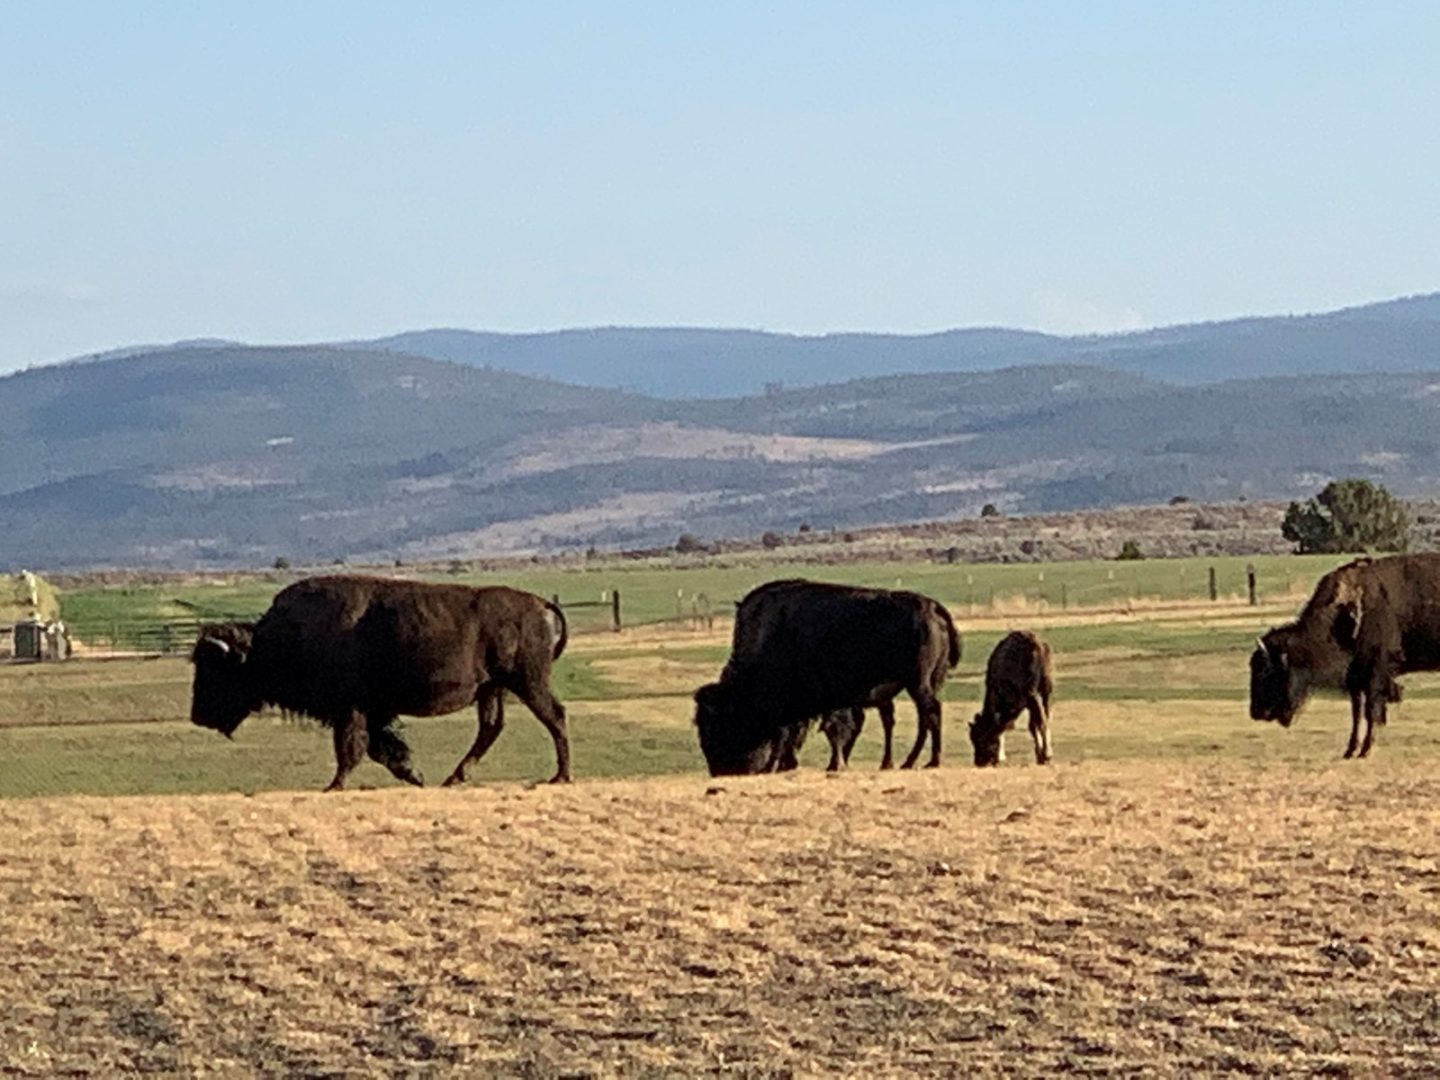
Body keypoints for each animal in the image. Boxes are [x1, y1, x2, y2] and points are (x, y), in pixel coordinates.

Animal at [189, 575, 570, 791]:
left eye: (217, 670)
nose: (197, 716)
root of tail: (539, 603)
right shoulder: (368, 710)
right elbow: (377, 746)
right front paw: (414, 774)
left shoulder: (349, 708)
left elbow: (350, 747)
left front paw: (335, 786)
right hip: (493, 688)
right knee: (491, 727)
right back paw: (453, 778)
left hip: (527, 682)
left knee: (554, 716)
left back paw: (561, 777)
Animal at [694, 579, 961, 776]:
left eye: (719, 724)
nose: (720, 770)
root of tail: (931, 606)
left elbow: (809, 731)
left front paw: (827, 764)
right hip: (926, 683)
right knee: (924, 717)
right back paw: (908, 761)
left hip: (918, 683)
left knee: (931, 712)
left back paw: (929, 761)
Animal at [969, 630, 1053, 767]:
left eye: (978, 738)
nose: (978, 761)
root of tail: (1037, 647)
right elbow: (1031, 725)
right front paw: (1038, 756)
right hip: (1046, 690)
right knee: (1045, 717)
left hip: (1032, 693)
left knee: (1042, 721)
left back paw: (1047, 755)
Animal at [1251, 553, 1440, 758]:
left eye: (1266, 671)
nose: (1255, 712)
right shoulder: (1356, 679)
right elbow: (1357, 713)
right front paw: (1350, 750)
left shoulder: (1375, 674)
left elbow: (1371, 711)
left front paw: (1366, 750)